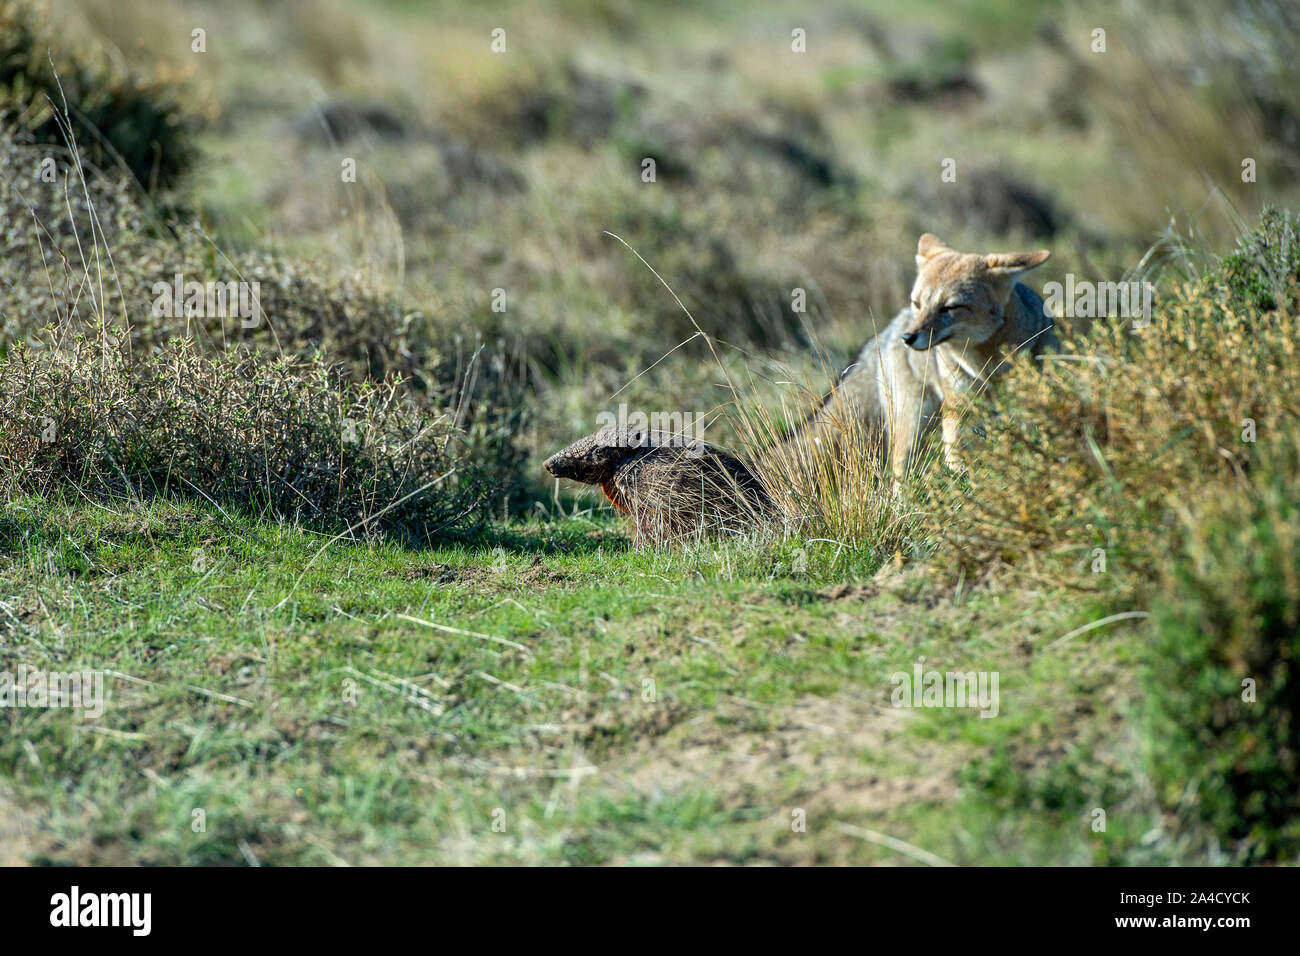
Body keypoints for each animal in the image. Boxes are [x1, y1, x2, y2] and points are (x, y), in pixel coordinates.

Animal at [785, 233, 1055, 480]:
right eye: (918, 303)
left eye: (950, 307)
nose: (908, 337)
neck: (988, 370)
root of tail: (891, 327)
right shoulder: (957, 410)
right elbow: (958, 461)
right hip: (912, 425)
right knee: (898, 477)